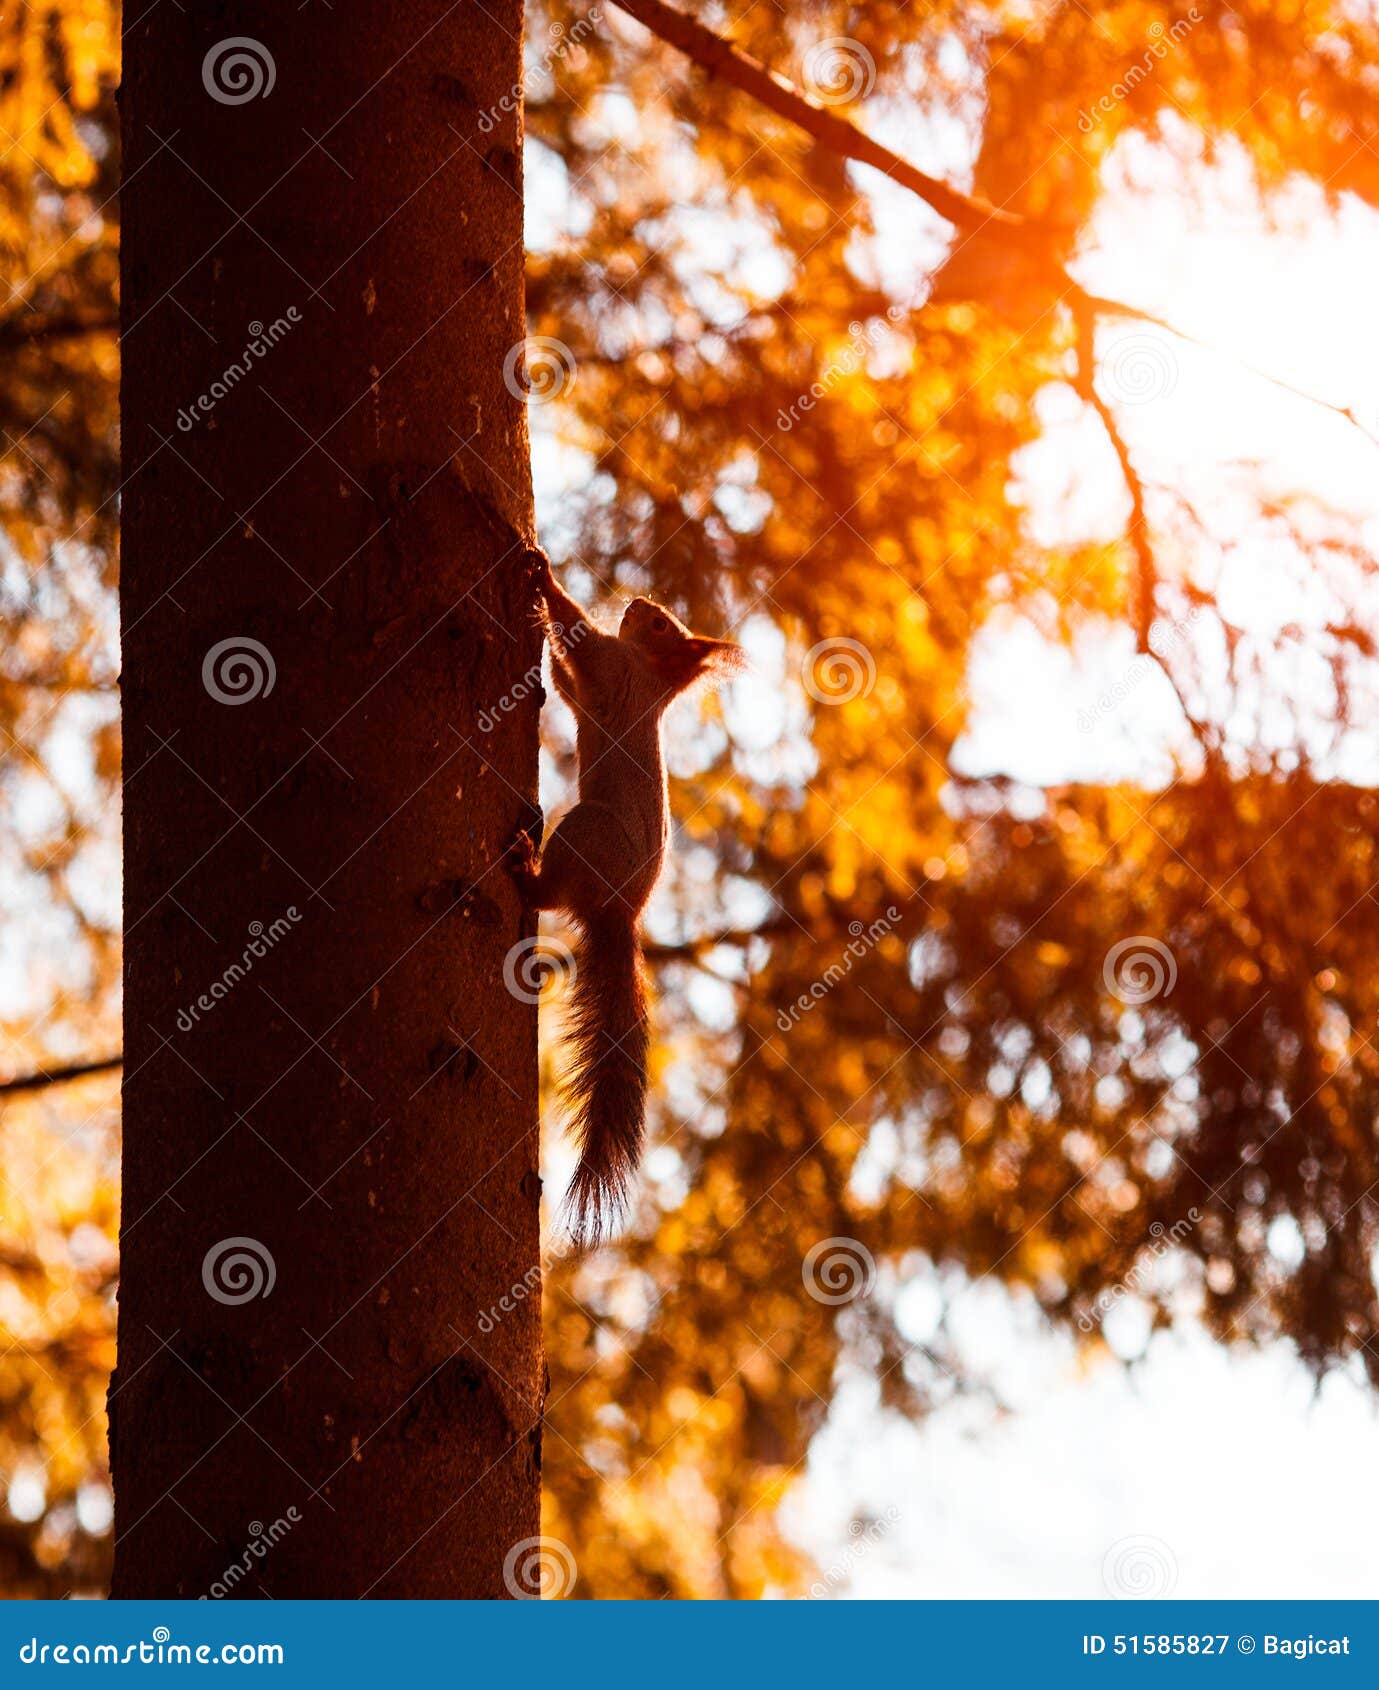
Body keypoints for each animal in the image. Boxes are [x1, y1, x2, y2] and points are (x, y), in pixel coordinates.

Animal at [513, 551, 742, 1244]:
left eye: (663, 626)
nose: (639, 603)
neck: (653, 678)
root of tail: (620, 912)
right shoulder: (602, 685)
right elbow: (568, 685)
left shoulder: (613, 668)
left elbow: (584, 643)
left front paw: (543, 578)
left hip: (588, 832)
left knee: (548, 889)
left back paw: (526, 867)